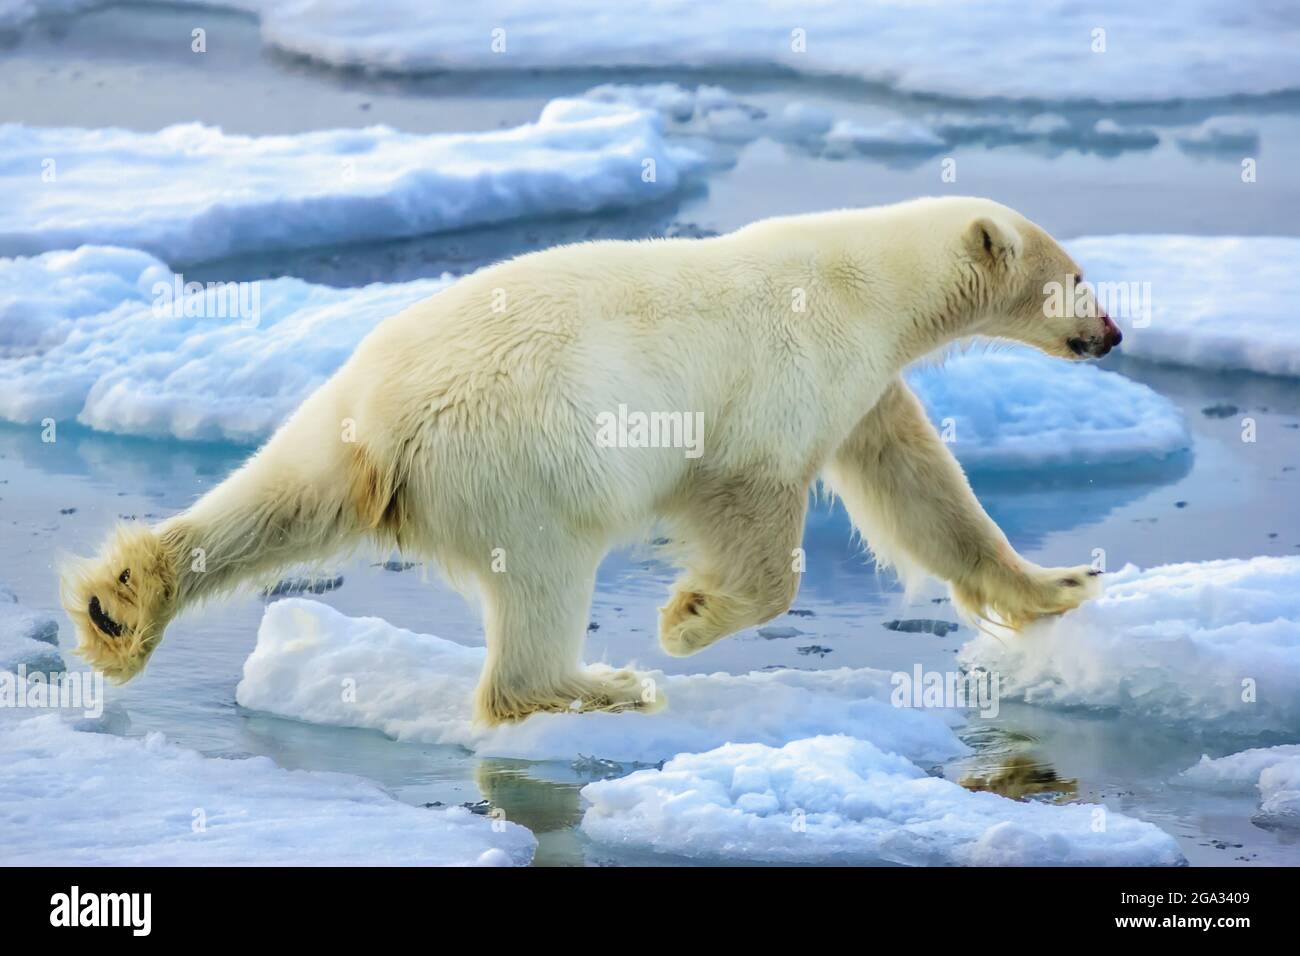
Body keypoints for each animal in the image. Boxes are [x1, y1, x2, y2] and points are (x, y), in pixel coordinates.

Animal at [62, 196, 1119, 725]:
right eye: (1074, 276)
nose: (1111, 333)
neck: (872, 281)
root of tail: (391, 429)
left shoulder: (864, 383)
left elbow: (921, 487)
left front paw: (1061, 586)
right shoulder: (794, 366)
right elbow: (755, 498)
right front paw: (690, 619)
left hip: (335, 420)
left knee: (271, 501)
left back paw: (122, 602)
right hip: (522, 462)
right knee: (545, 575)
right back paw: (601, 684)